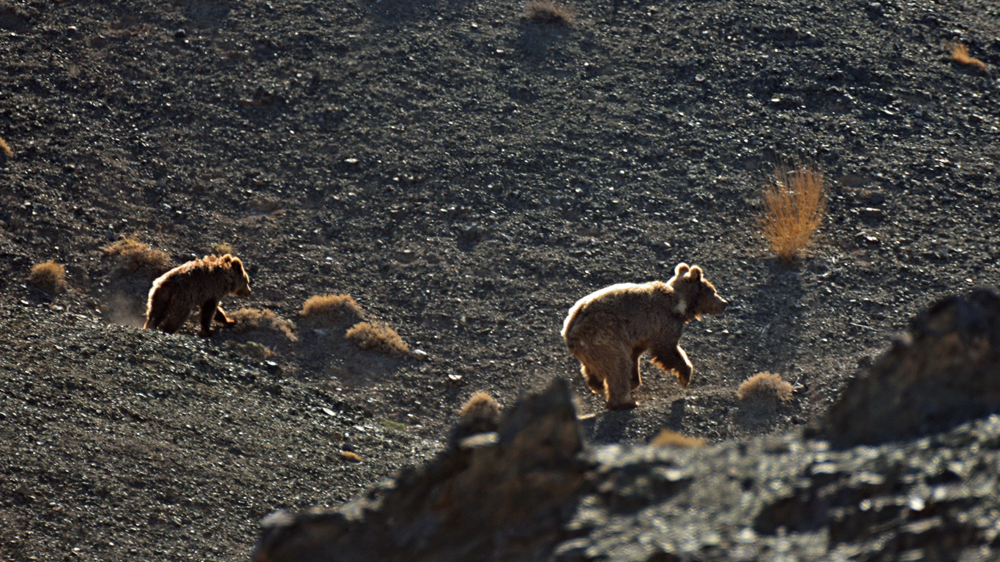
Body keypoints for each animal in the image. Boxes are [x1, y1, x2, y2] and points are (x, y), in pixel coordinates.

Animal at [561, 263, 727, 410]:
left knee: (599, 368)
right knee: (618, 365)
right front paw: (684, 377)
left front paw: (634, 380)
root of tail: (568, 329)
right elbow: (668, 350)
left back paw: (599, 386)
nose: (725, 303)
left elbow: (635, 357)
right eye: (713, 291)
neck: (680, 304)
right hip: (603, 337)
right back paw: (624, 402)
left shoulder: (639, 338)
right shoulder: (661, 324)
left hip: (592, 349)